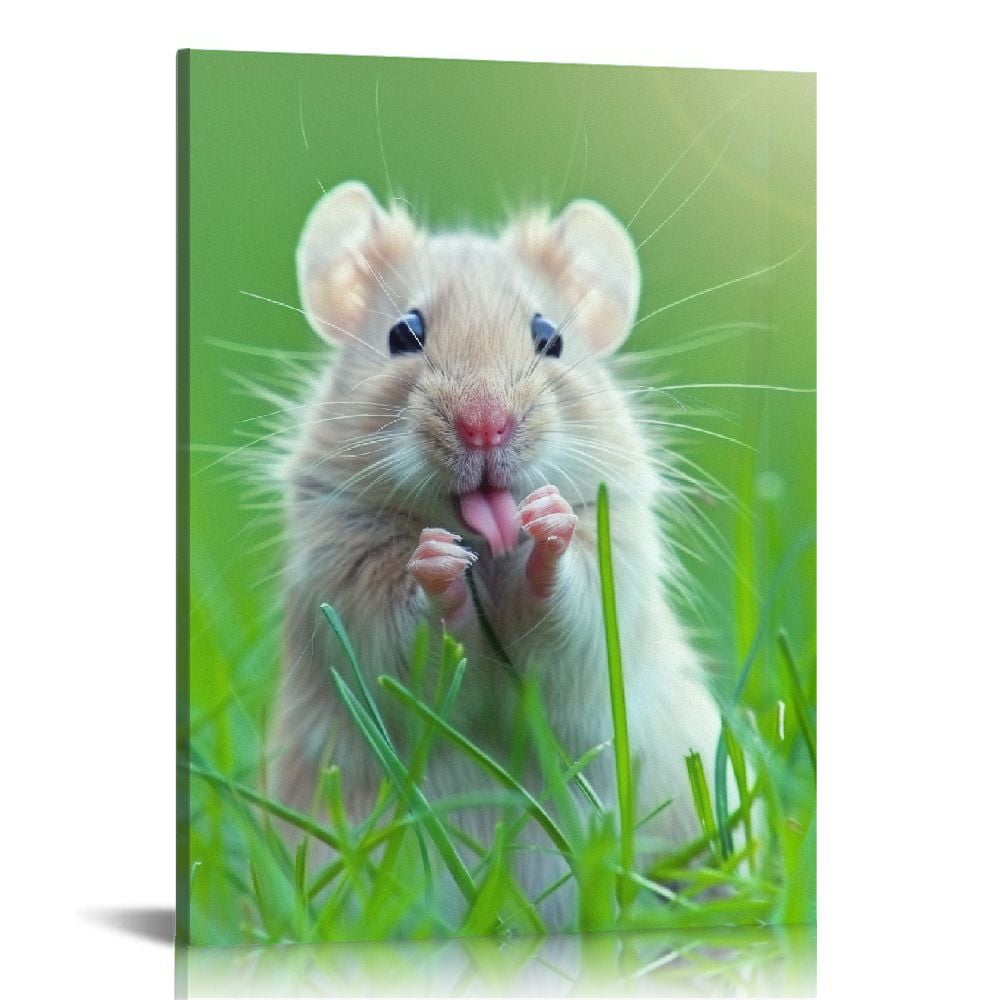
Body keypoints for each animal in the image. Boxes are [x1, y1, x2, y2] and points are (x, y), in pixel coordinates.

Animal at [272, 180, 726, 922]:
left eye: (550, 338)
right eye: (403, 334)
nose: (484, 426)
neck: (486, 548)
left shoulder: (611, 584)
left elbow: (566, 608)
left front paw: (545, 525)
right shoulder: (344, 585)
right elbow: (408, 634)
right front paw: (434, 560)